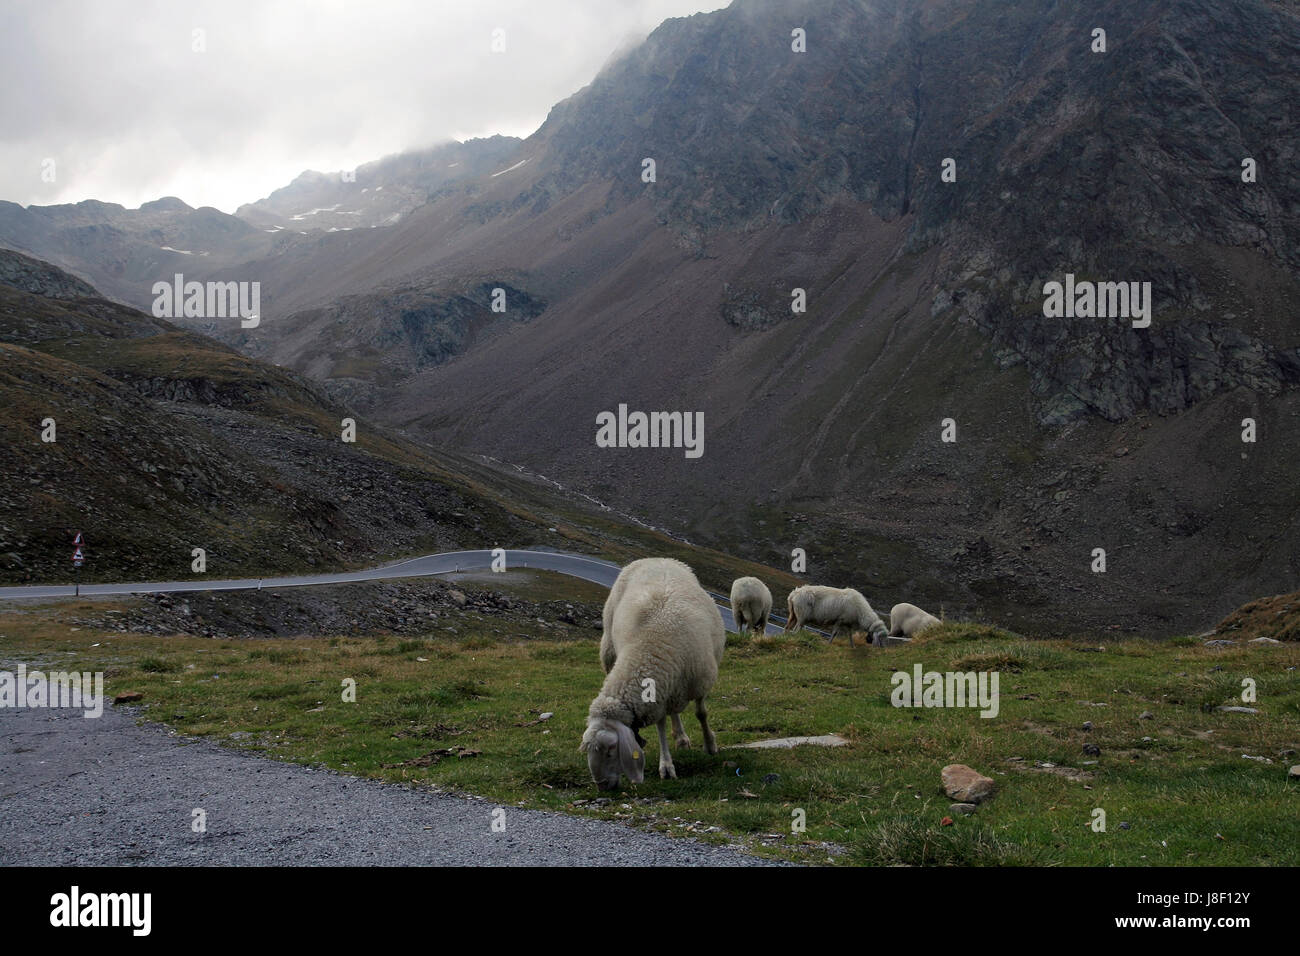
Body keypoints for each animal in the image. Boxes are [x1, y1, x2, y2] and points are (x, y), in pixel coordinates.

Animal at [580, 557, 726, 789]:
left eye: (611, 750)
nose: (602, 786)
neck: (648, 647)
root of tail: (656, 558)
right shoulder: (658, 694)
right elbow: (661, 726)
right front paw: (666, 765)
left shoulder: (700, 681)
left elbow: (701, 713)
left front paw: (710, 745)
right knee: (673, 712)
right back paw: (680, 736)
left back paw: (683, 738)